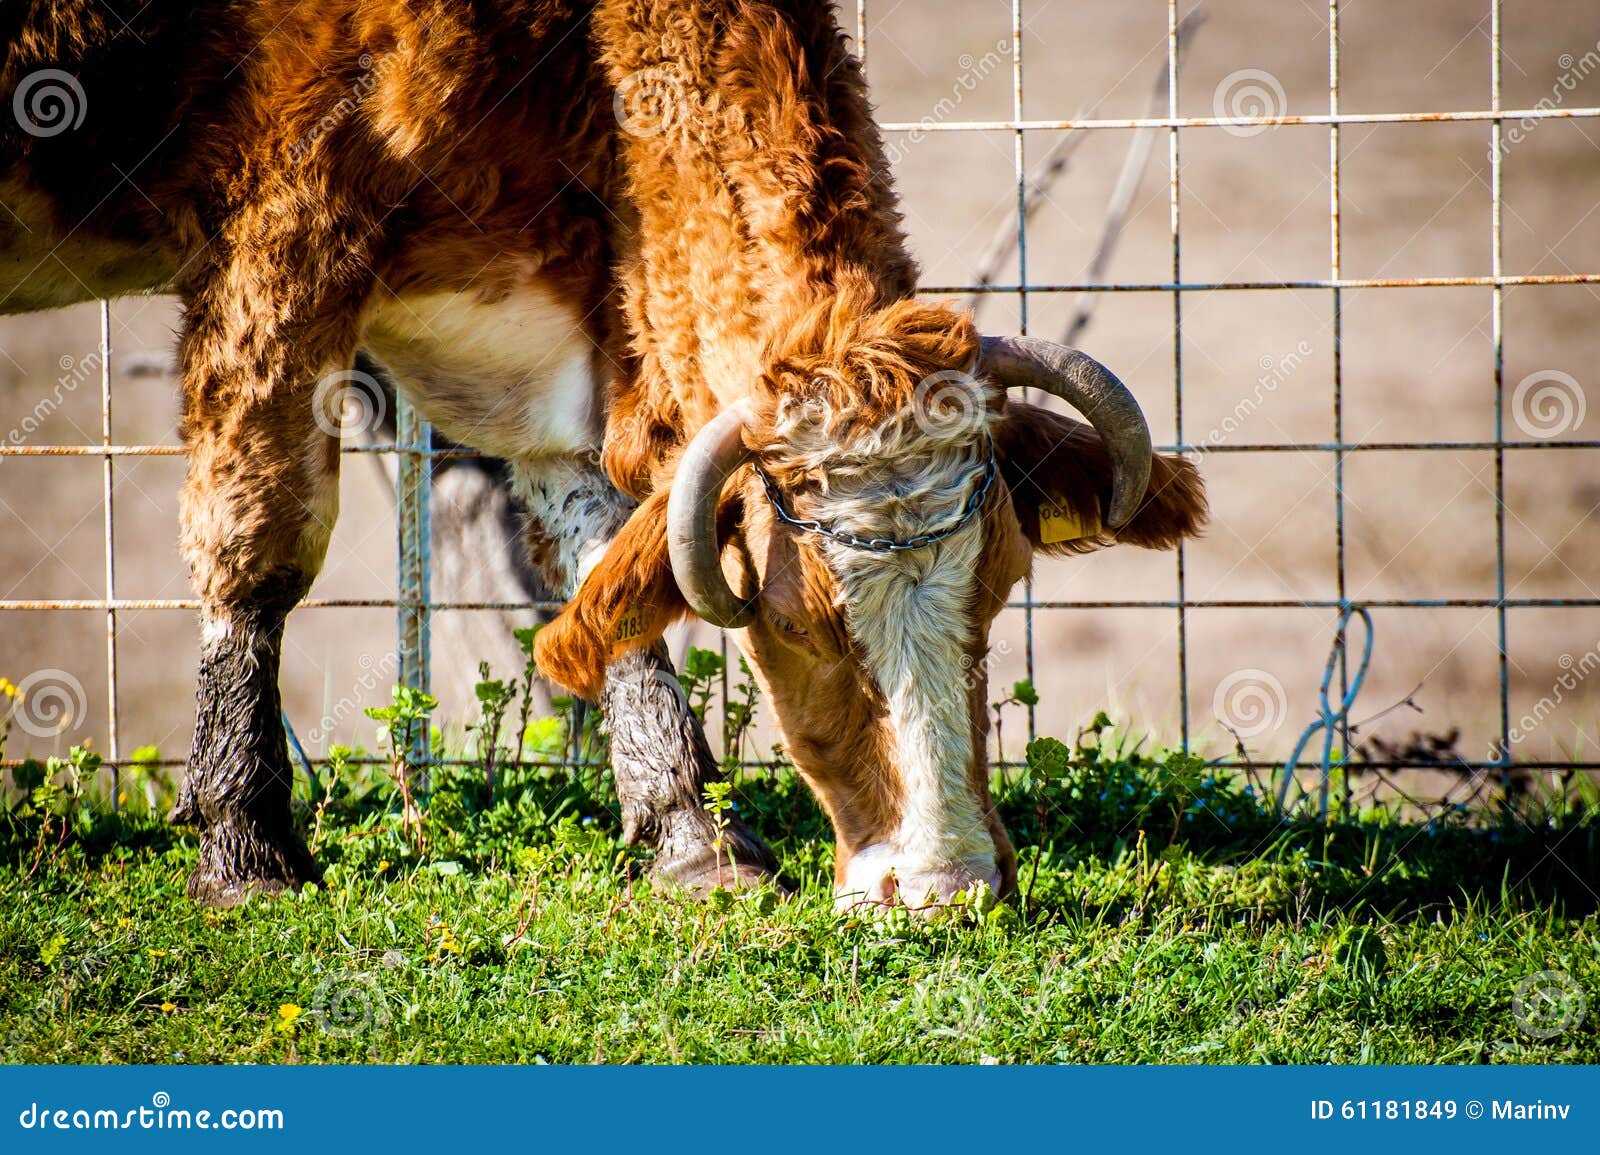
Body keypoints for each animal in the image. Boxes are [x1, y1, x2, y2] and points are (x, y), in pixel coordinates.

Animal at [1, 0, 1205, 910]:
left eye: (997, 590)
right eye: (795, 623)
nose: (945, 887)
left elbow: (601, 566)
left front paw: (690, 833)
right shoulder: (282, 218)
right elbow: (258, 544)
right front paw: (242, 845)